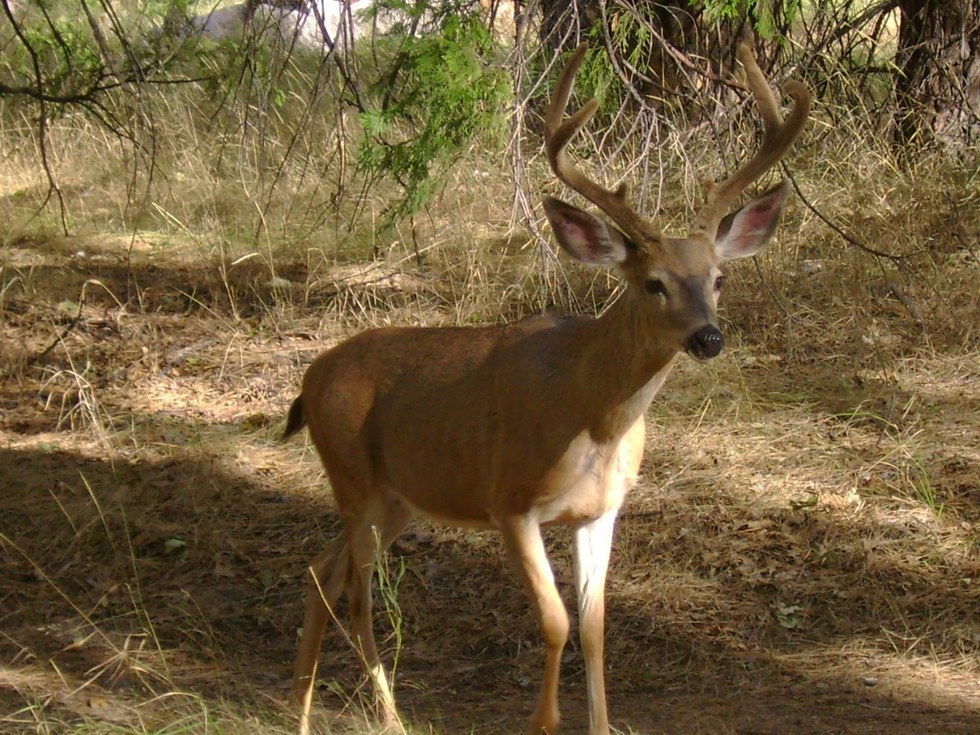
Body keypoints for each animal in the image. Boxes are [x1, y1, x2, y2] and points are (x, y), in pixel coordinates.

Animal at [284, 33, 810, 735]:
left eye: (719, 278)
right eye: (653, 283)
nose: (708, 338)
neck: (595, 416)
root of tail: (312, 378)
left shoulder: (603, 509)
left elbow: (593, 627)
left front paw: (601, 724)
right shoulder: (509, 500)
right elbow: (556, 622)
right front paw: (543, 721)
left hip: (398, 497)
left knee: (321, 572)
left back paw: (300, 710)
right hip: (355, 479)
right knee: (360, 592)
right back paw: (387, 716)